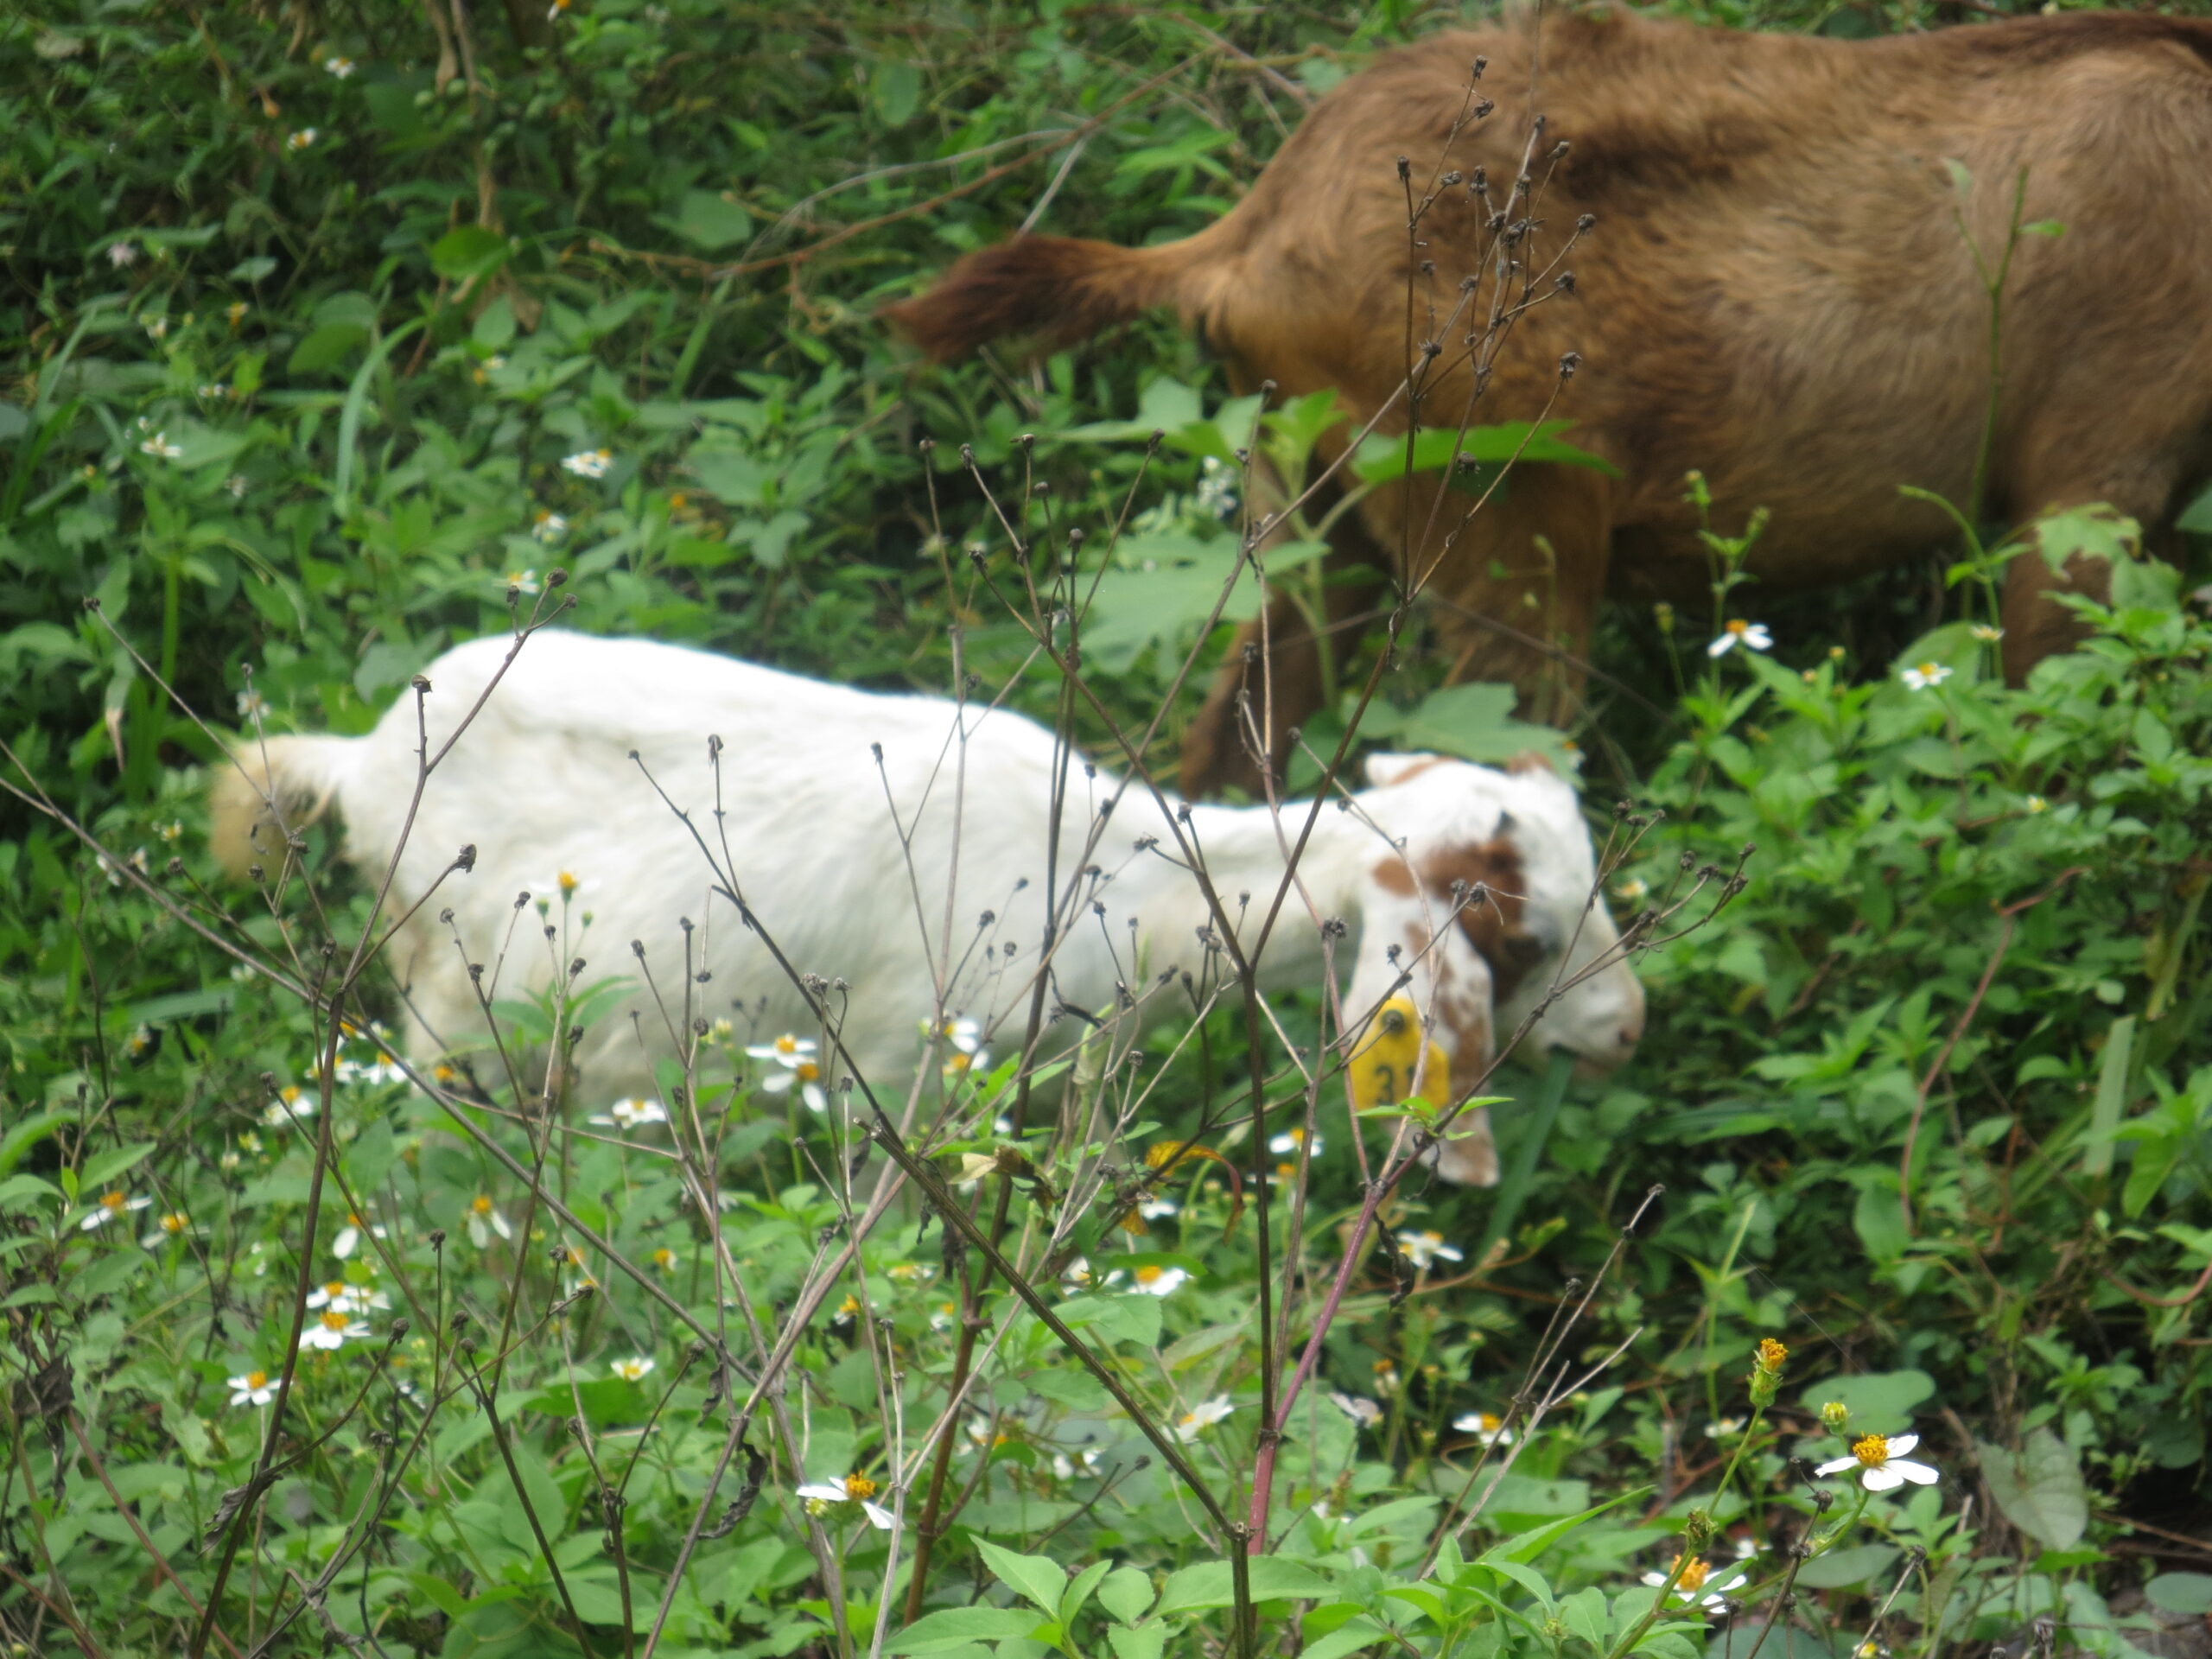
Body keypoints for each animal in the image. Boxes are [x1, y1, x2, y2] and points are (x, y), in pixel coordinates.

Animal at [209, 631, 1643, 1184]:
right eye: (1526, 937)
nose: (1630, 1029)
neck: (1127, 881)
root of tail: (359, 762)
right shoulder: (902, 1067)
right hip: (446, 1003)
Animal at [886, 6, 2212, 794]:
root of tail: (1237, 245)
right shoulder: (2094, 465)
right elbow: (2049, 715)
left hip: (1317, 513)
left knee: (1229, 744)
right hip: (1508, 506)